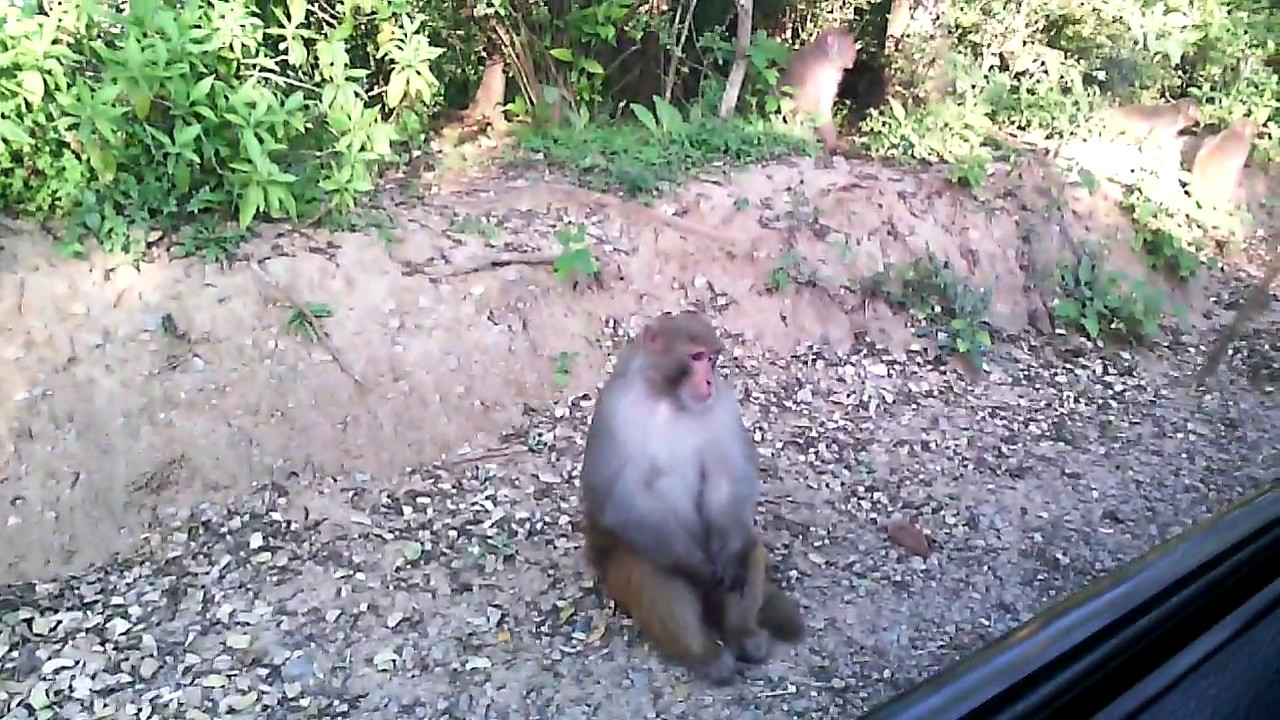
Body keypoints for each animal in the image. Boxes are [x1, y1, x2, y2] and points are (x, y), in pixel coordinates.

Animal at [578, 311, 805, 684]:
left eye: (712, 359)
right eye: (696, 357)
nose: (709, 381)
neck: (667, 396)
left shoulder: (722, 405)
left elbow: (727, 483)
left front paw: (729, 563)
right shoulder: (614, 409)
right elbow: (622, 499)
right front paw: (699, 569)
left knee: (747, 544)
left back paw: (743, 633)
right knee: (650, 566)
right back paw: (703, 654)